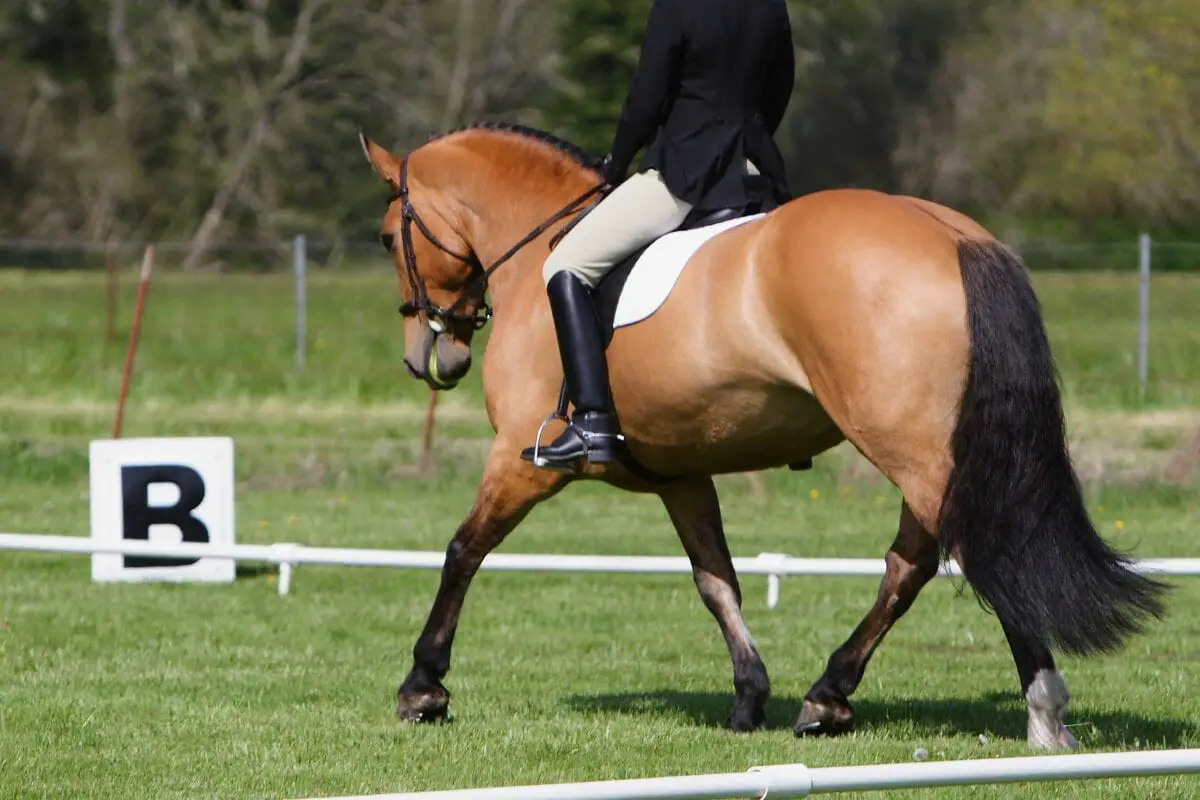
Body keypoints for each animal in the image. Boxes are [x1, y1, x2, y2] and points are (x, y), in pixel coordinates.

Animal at [357, 121, 1167, 750]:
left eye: (388, 236)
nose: (430, 357)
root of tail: (956, 235)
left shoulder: (525, 461)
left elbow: (463, 550)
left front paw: (423, 688)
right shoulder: (681, 474)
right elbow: (716, 580)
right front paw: (749, 695)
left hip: (914, 448)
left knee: (971, 551)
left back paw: (1039, 707)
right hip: (929, 450)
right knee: (913, 563)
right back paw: (827, 697)